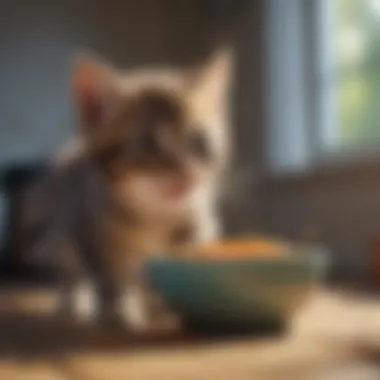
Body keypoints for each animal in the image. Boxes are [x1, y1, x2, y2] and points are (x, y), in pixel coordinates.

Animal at [23, 47, 235, 332]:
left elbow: (183, 258)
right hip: (62, 232)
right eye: (148, 146)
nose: (186, 176)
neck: (152, 216)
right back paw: (74, 302)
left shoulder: (200, 221)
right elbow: (109, 279)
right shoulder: (89, 230)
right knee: (70, 272)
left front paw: (164, 307)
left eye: (200, 142)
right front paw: (117, 313)